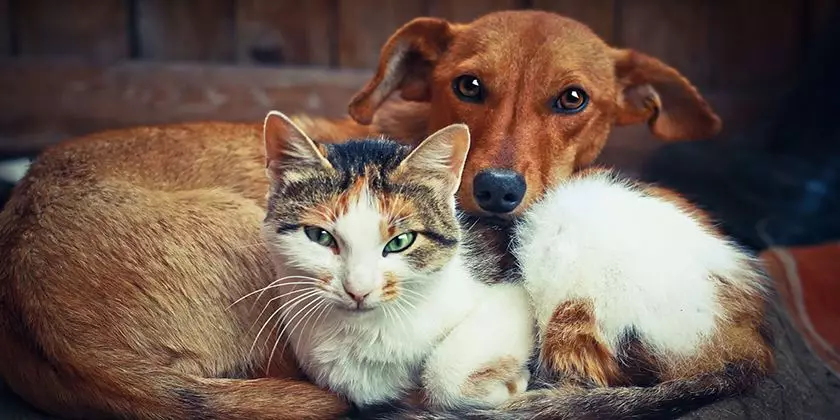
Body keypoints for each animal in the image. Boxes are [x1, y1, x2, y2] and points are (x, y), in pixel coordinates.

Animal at [258, 111, 540, 410]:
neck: (369, 332)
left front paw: (509, 385)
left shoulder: (514, 287)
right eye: (320, 236)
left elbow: (443, 374)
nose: (358, 290)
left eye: (400, 241)